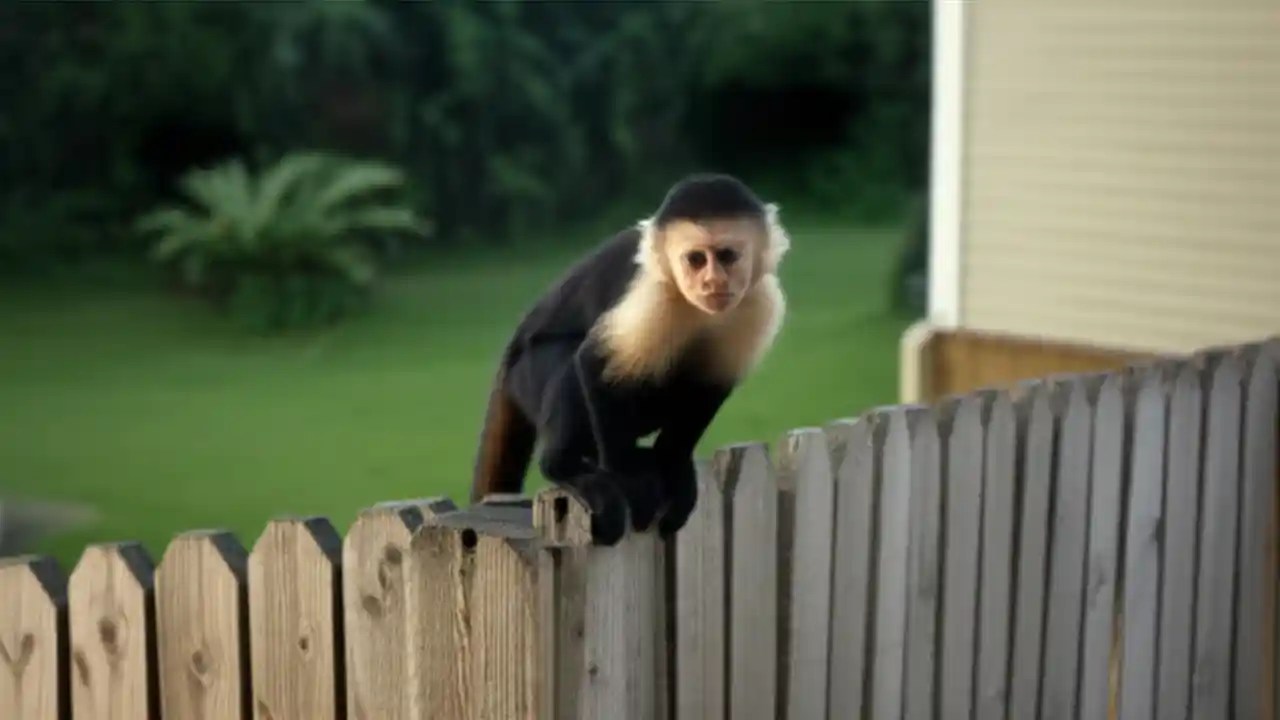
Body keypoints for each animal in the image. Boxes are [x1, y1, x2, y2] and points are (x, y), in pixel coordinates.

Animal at [469, 173, 790, 545]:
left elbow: (712, 381)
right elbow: (596, 364)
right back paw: (566, 466)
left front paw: (672, 464)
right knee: (567, 361)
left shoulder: (759, 301)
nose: (711, 281)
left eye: (726, 256)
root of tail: (509, 360)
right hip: (527, 376)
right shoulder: (653, 295)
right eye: (695, 259)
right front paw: (627, 478)